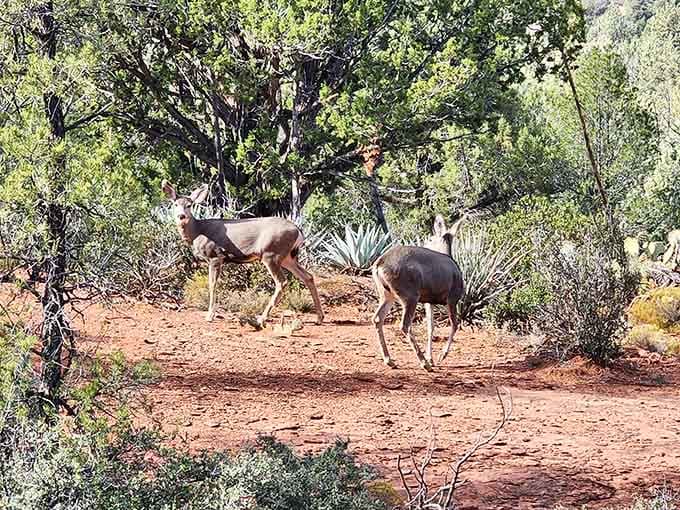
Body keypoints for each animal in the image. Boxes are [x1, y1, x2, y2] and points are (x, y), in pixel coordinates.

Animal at [161, 181, 324, 327]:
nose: (181, 216)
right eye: (175, 204)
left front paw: (209, 316)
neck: (198, 231)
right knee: (308, 276)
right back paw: (319, 318)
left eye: (189, 205)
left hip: (271, 253)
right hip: (287, 257)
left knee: (282, 282)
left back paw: (261, 319)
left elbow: (212, 284)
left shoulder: (215, 256)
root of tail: (298, 231)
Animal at [371, 214, 465, 371]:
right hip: (409, 295)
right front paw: (441, 356)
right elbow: (454, 324)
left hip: (386, 294)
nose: (427, 241)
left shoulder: (428, 301)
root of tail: (379, 264)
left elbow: (430, 327)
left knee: (378, 318)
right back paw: (423, 363)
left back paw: (390, 360)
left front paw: (431, 358)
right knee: (405, 324)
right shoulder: (453, 297)